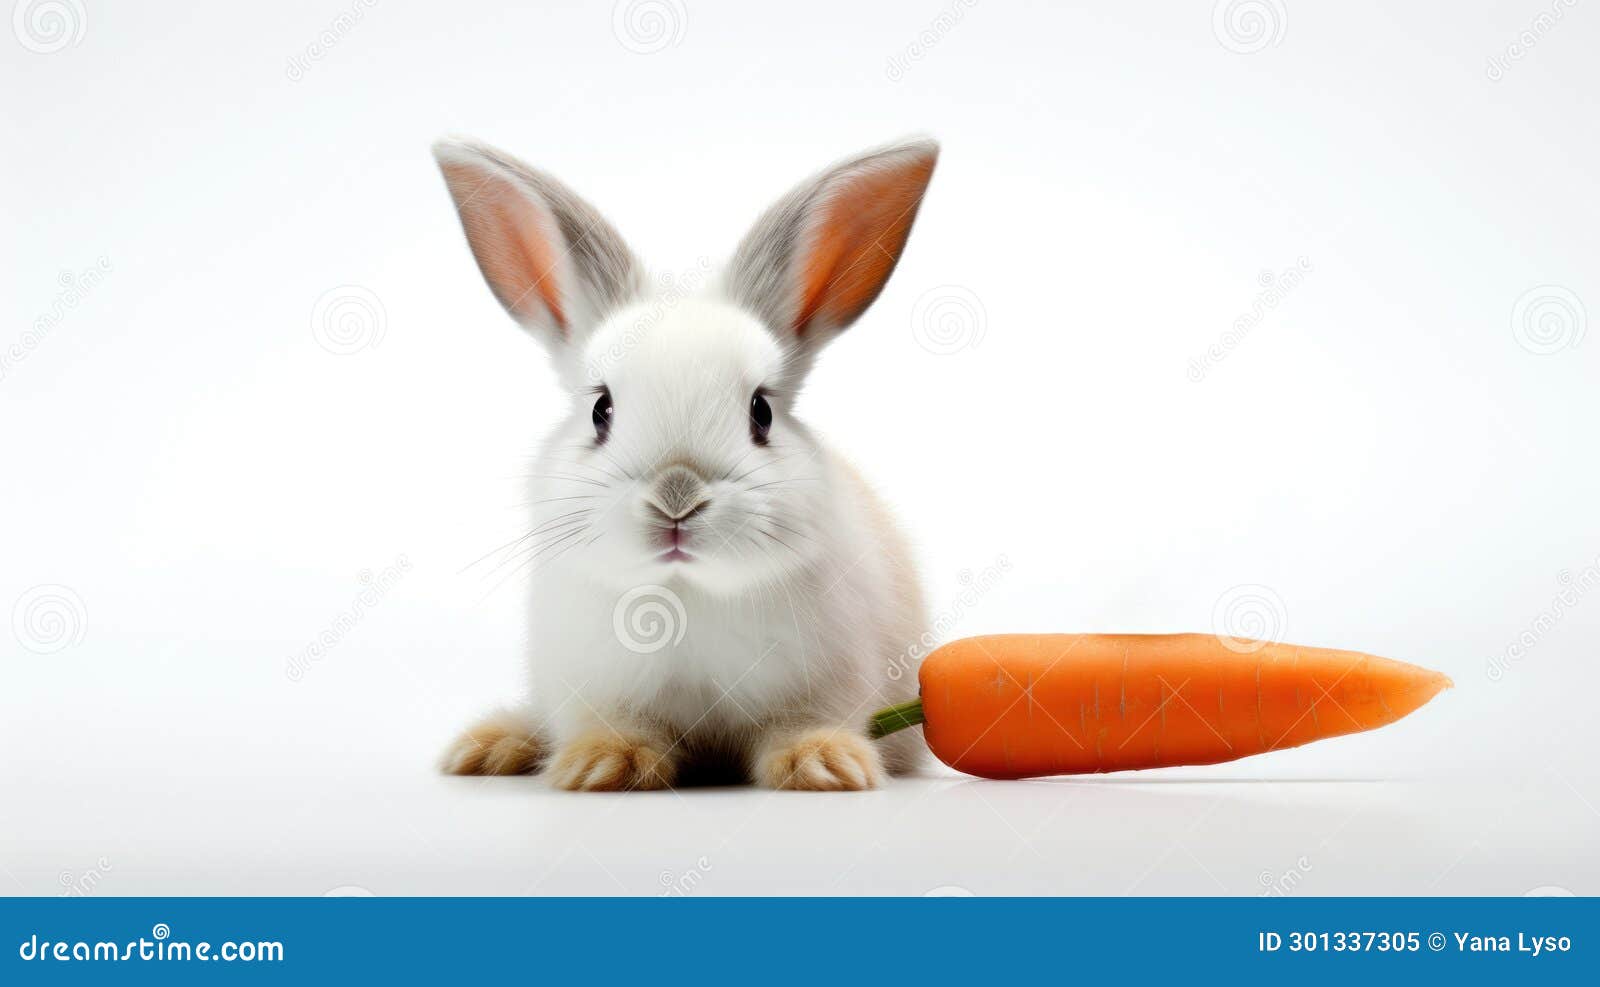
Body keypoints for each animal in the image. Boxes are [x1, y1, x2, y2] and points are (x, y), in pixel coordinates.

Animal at [433, 135, 939, 790]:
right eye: (600, 410)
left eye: (761, 413)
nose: (677, 497)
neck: (683, 595)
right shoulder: (595, 689)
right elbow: (618, 725)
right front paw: (604, 763)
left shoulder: (830, 684)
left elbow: (803, 723)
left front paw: (823, 763)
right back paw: (492, 747)